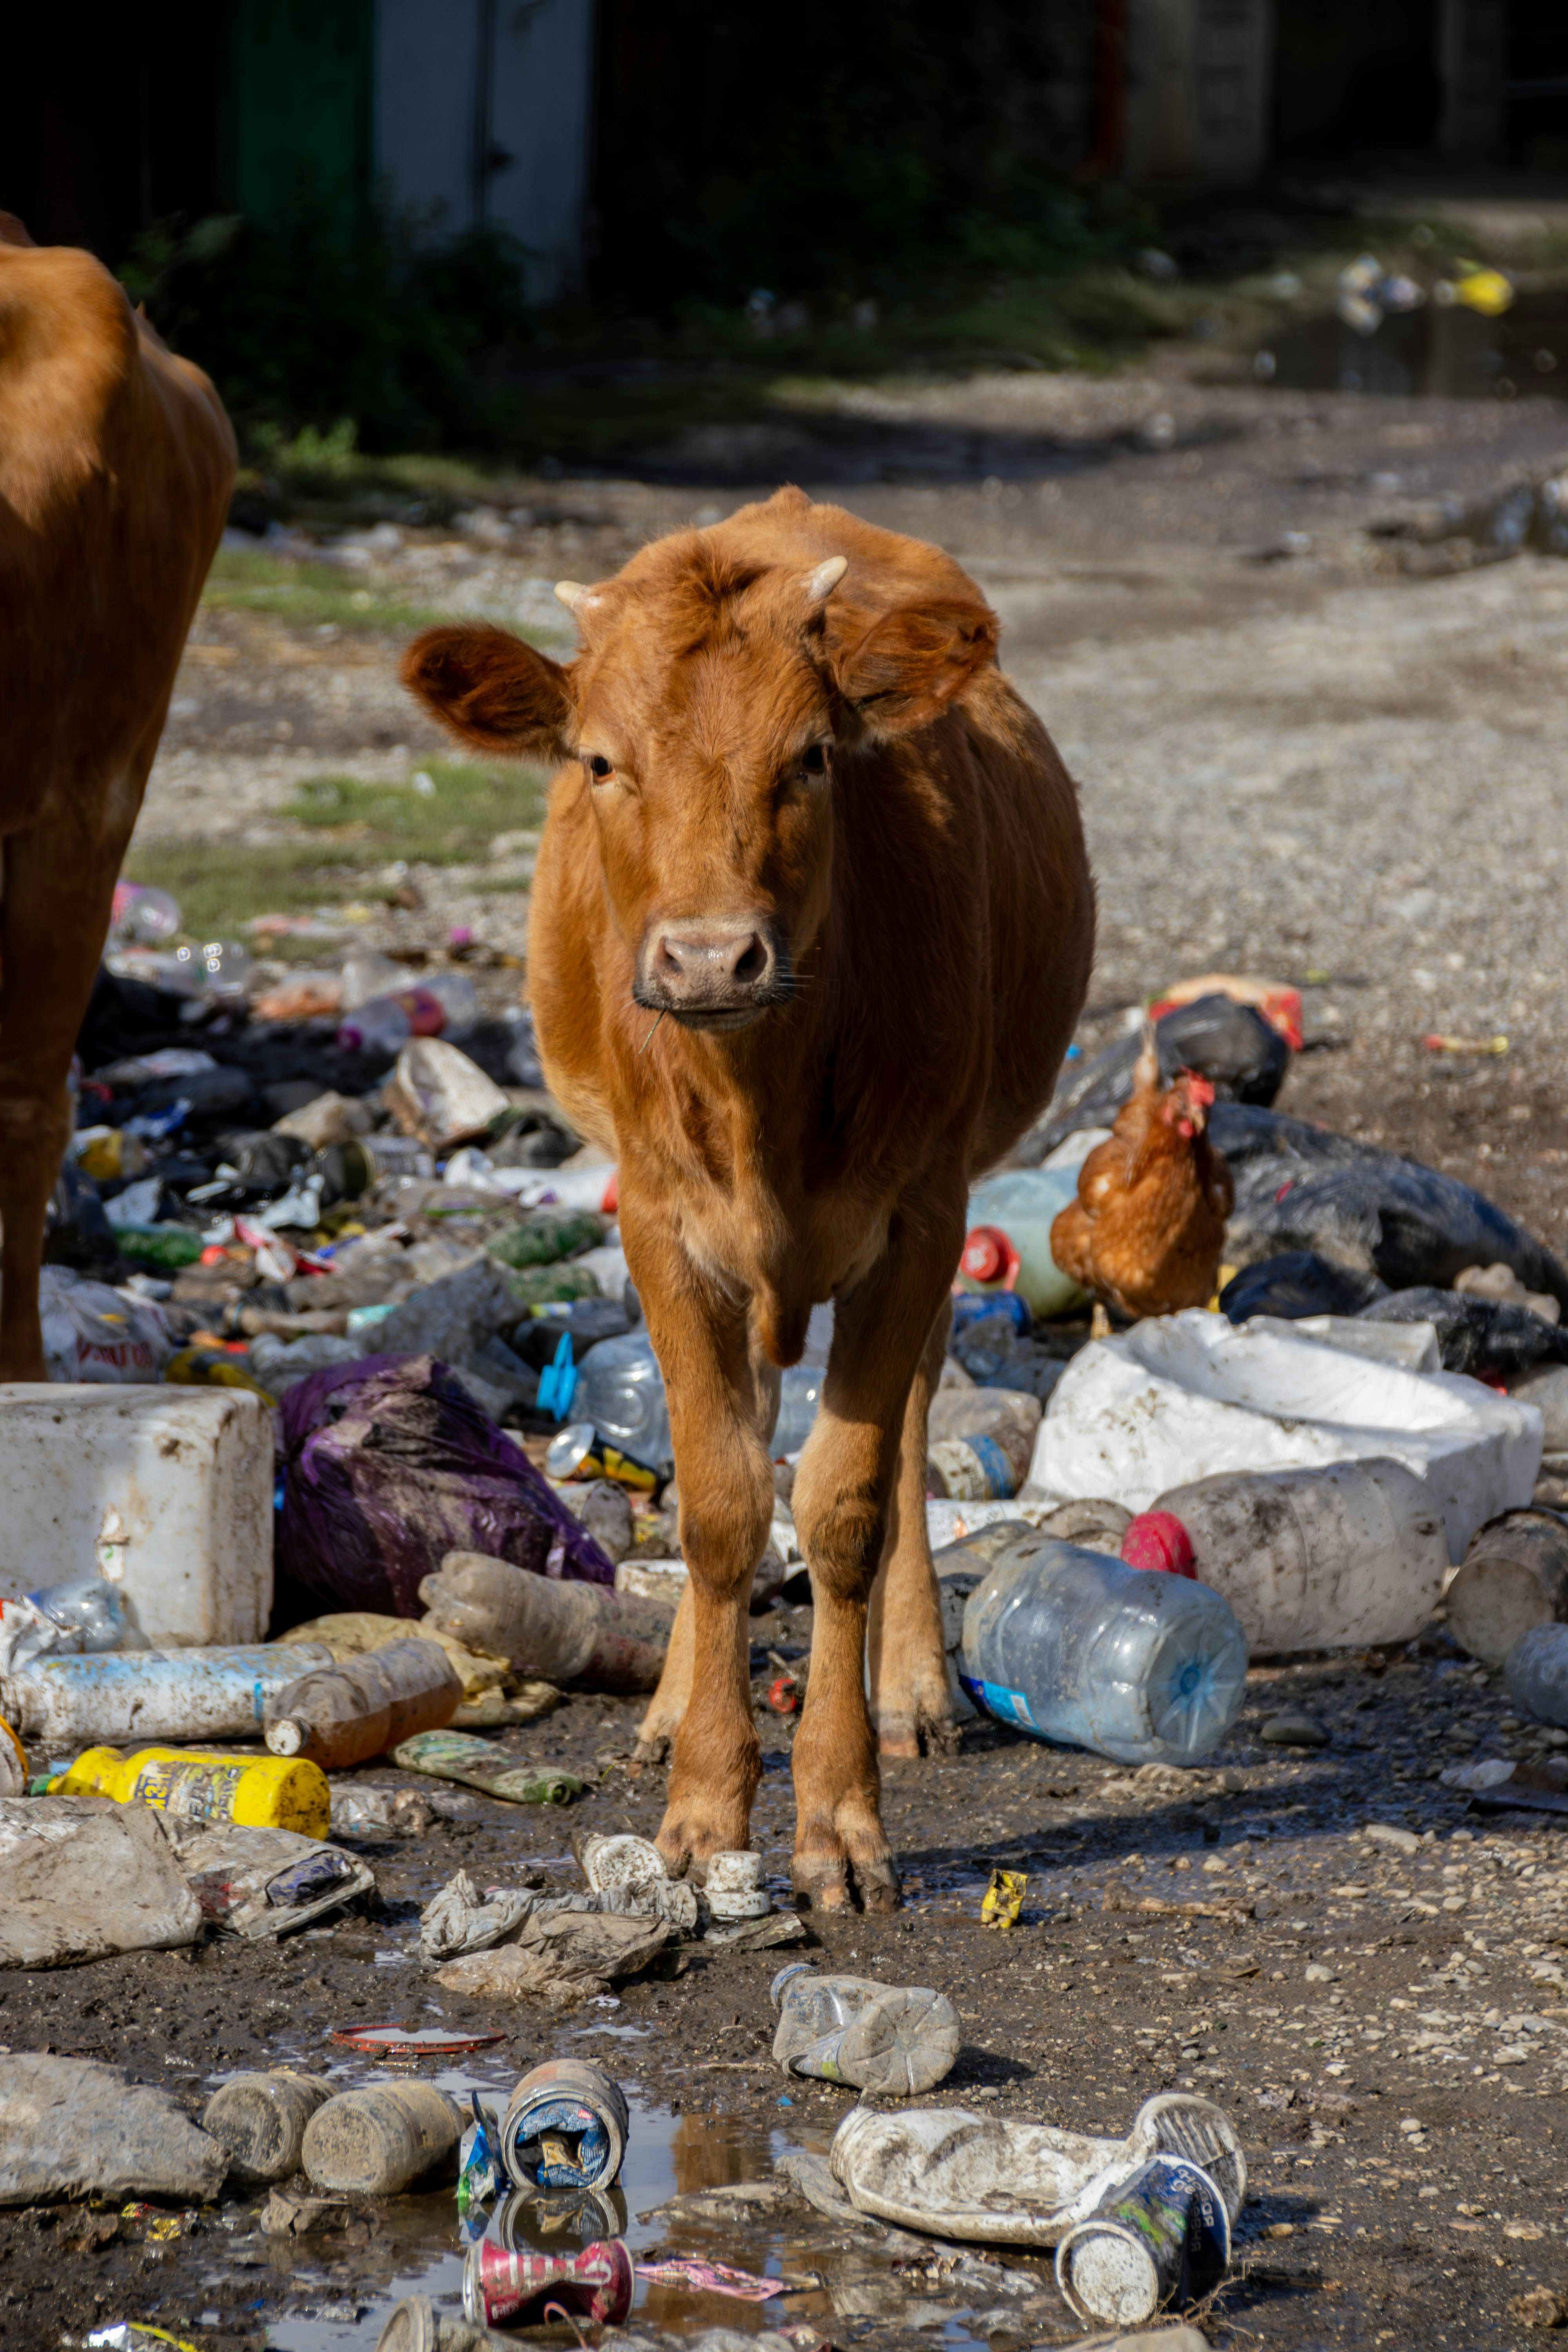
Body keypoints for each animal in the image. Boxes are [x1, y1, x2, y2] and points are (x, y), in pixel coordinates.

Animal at [403, 488, 1093, 1910]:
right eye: (598, 763)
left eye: (814, 759)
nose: (711, 957)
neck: (757, 1092)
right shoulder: (659, 1223)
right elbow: (721, 1504)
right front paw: (708, 1801)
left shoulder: (921, 1215)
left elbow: (844, 1506)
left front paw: (837, 1813)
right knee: (741, 1432)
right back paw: (673, 1700)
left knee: (905, 1422)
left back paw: (913, 1683)